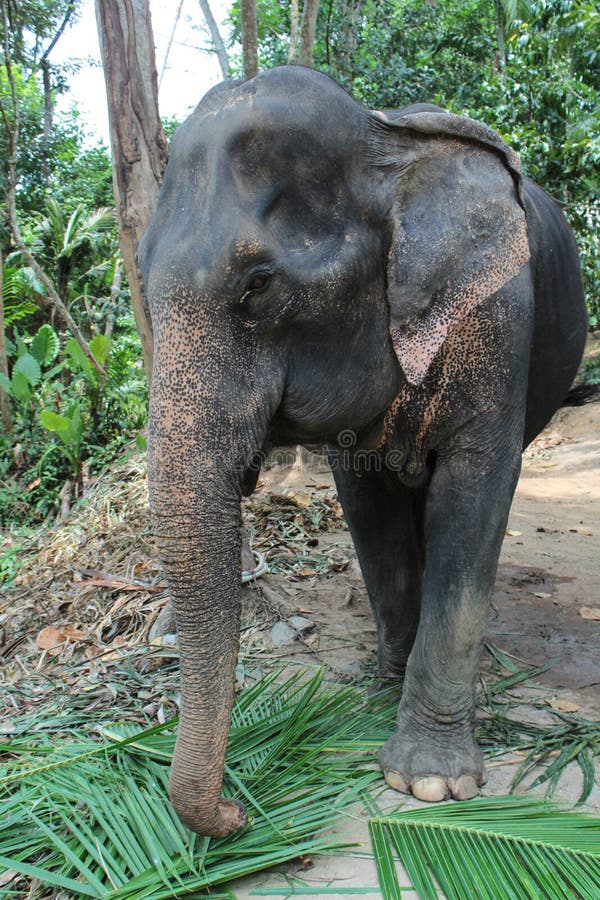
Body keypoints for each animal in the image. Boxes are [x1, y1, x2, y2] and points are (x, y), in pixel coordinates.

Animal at [138, 65, 587, 837]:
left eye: (258, 285)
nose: (235, 811)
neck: (387, 141)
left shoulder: (499, 319)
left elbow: (476, 493)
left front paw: (430, 782)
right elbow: (368, 508)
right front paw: (385, 686)